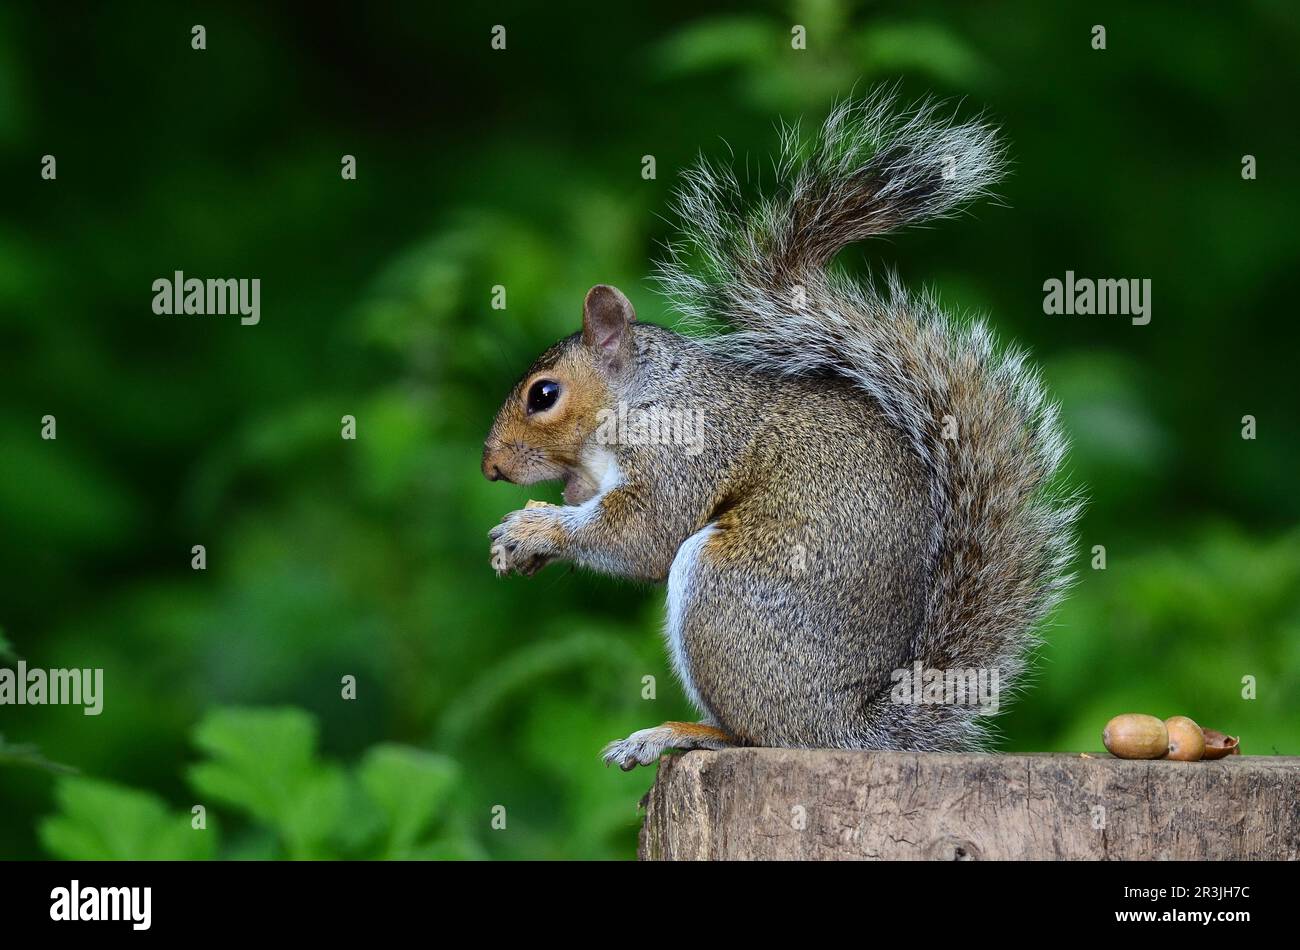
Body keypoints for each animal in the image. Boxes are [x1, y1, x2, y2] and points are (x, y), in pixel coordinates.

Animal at [482, 92, 1082, 769]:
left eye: (544, 395)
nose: (490, 466)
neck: (641, 397)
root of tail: (847, 727)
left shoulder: (683, 449)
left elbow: (642, 537)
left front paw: (533, 529)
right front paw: (525, 540)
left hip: (725, 592)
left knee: (761, 733)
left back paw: (676, 733)